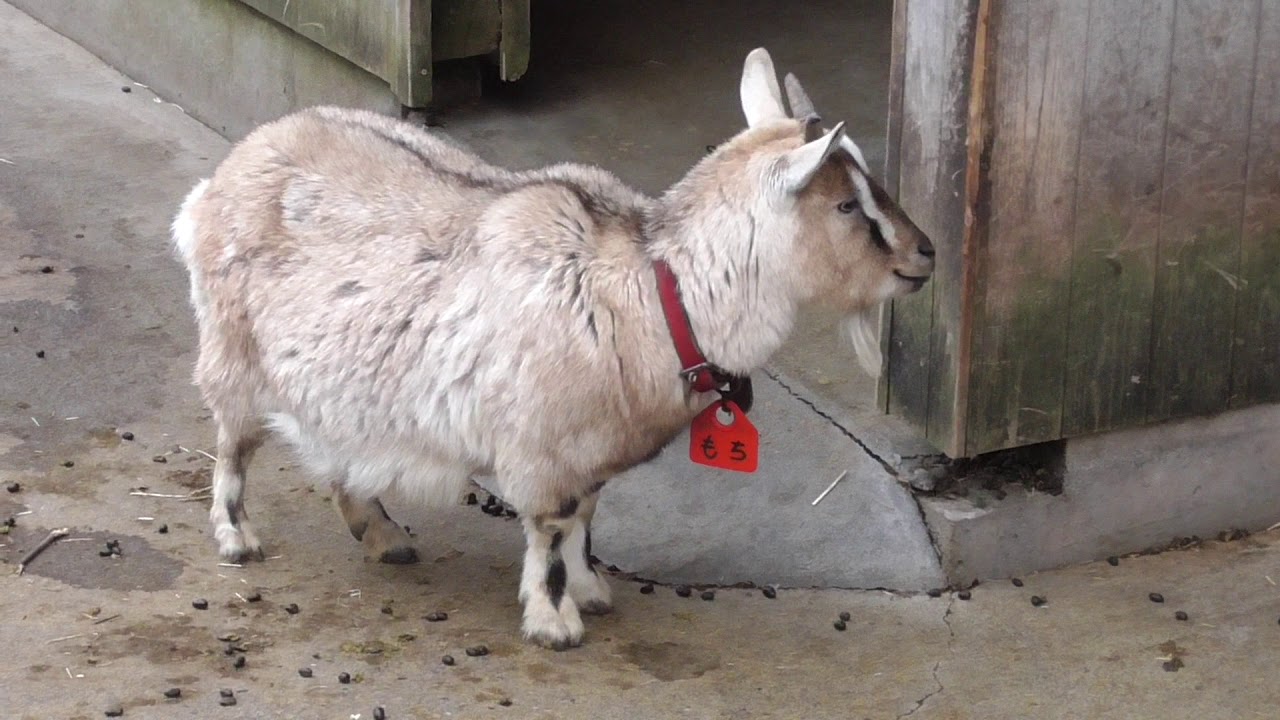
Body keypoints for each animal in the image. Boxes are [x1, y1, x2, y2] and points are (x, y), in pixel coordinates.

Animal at [171, 48, 934, 649]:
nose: (924, 254)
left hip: (346, 382)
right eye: (846, 206)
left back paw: (385, 536)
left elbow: (586, 520)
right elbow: (552, 530)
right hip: (234, 352)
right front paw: (556, 621)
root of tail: (220, 179)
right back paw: (237, 536)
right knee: (233, 443)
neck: (659, 289)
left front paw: (592, 590)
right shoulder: (543, 447)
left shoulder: (590, 448)